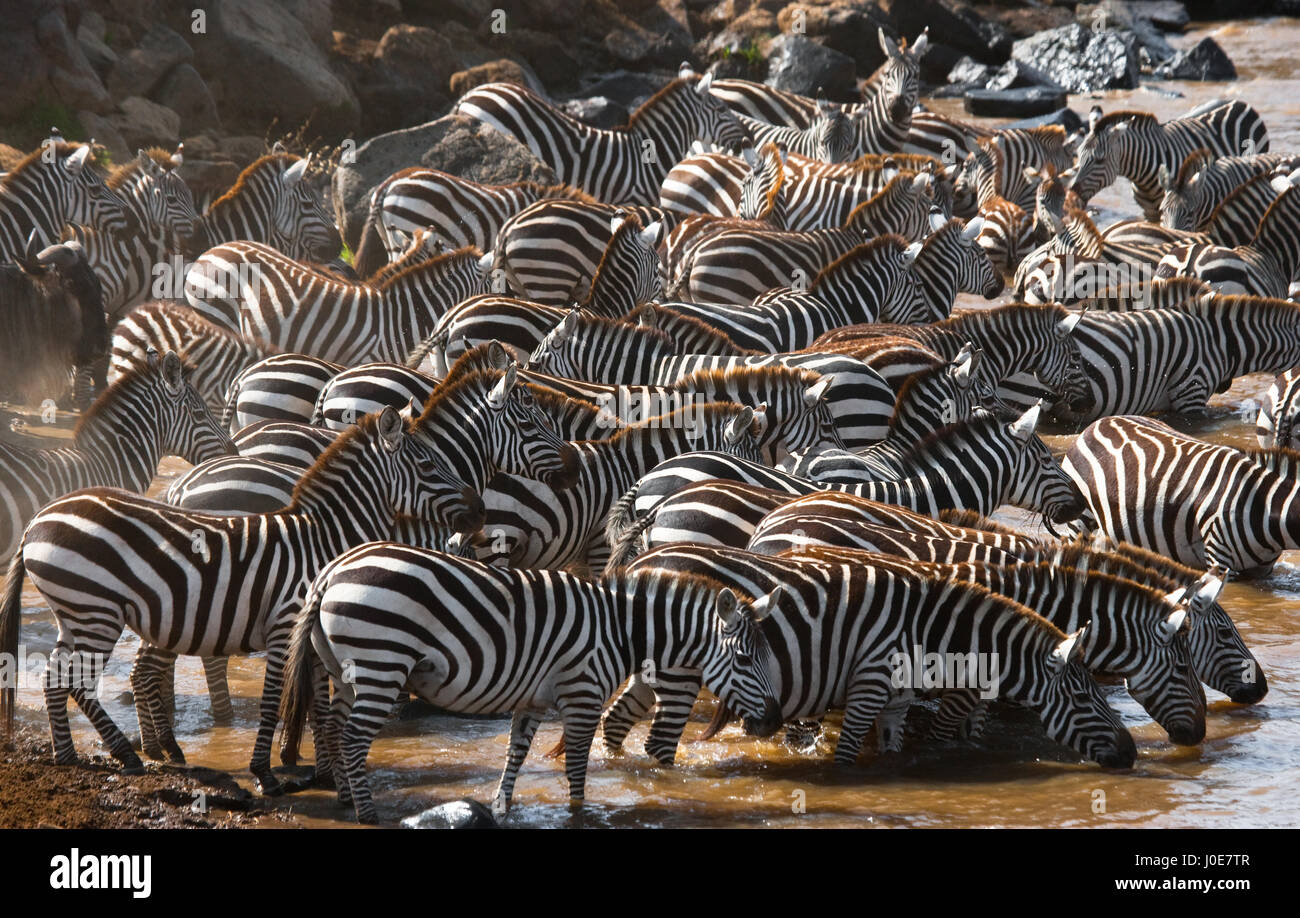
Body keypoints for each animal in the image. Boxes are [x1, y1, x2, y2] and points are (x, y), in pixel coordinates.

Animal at [0, 365, 579, 790]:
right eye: (428, 465)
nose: (478, 513)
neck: (324, 534)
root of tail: (36, 522)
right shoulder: (291, 624)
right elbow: (280, 692)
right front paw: (270, 770)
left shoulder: (325, 625)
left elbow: (320, 695)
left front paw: (318, 765)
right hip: (96, 611)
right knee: (80, 676)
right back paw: (131, 752)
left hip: (86, 613)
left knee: (60, 673)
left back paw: (79, 753)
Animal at [276, 547, 782, 822]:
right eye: (743, 659)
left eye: (766, 657)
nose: (775, 722)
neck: (618, 629)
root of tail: (331, 571)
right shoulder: (581, 696)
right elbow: (576, 768)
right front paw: (579, 814)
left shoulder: (534, 700)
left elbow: (515, 755)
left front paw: (501, 808)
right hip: (382, 663)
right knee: (353, 738)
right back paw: (368, 813)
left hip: (346, 672)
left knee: (332, 729)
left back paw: (345, 799)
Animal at [614, 543, 1135, 768]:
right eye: (1086, 700)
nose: (1131, 754)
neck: (929, 632)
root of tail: (643, 560)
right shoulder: (868, 685)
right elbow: (846, 757)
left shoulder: (896, 702)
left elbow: (889, 750)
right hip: (680, 676)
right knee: (659, 743)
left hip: (648, 674)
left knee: (617, 721)